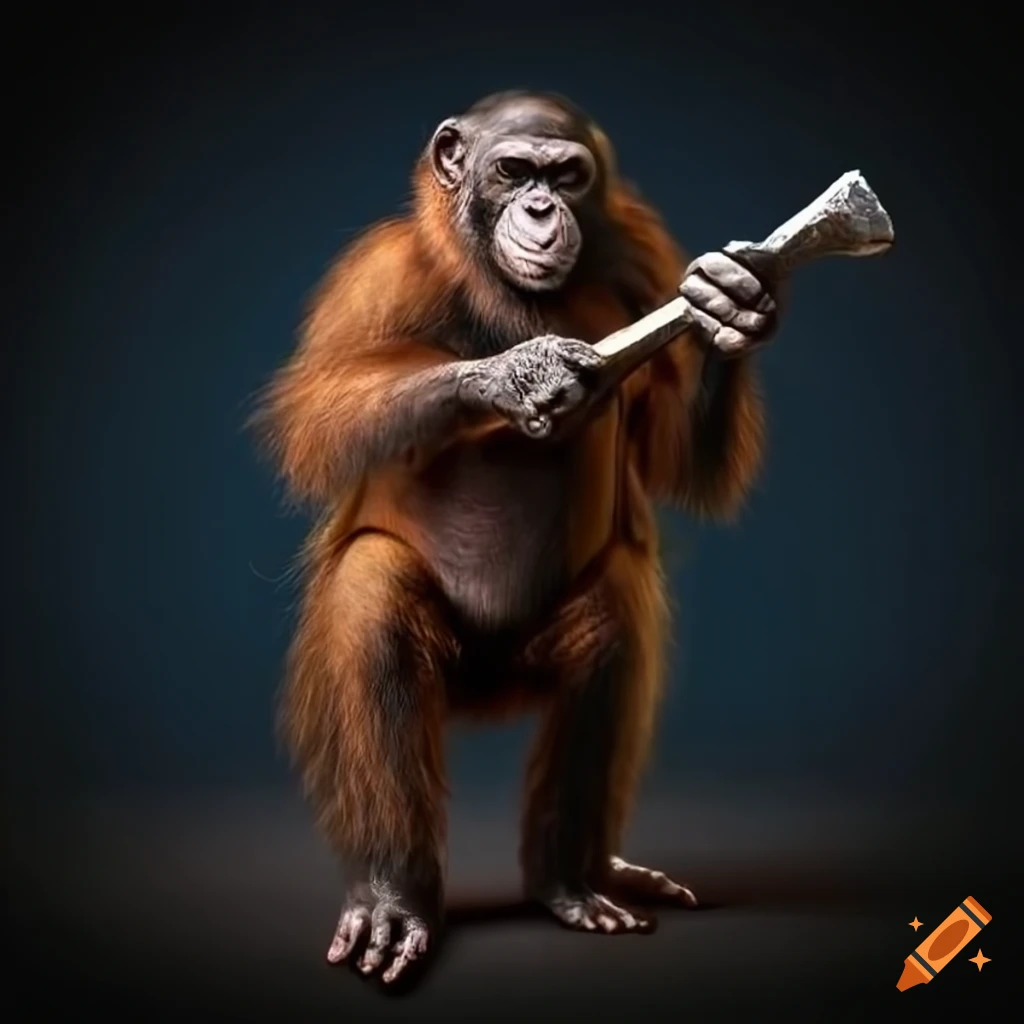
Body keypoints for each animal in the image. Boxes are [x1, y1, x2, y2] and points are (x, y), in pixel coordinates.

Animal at [252, 90, 778, 985]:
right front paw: (519, 373)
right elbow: (325, 409)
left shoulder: (645, 259)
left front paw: (726, 303)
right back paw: (394, 900)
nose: (539, 208)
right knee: (373, 598)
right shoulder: (375, 280)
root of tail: (489, 689)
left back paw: (577, 879)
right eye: (512, 170)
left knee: (610, 627)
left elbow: (671, 450)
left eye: (564, 175)